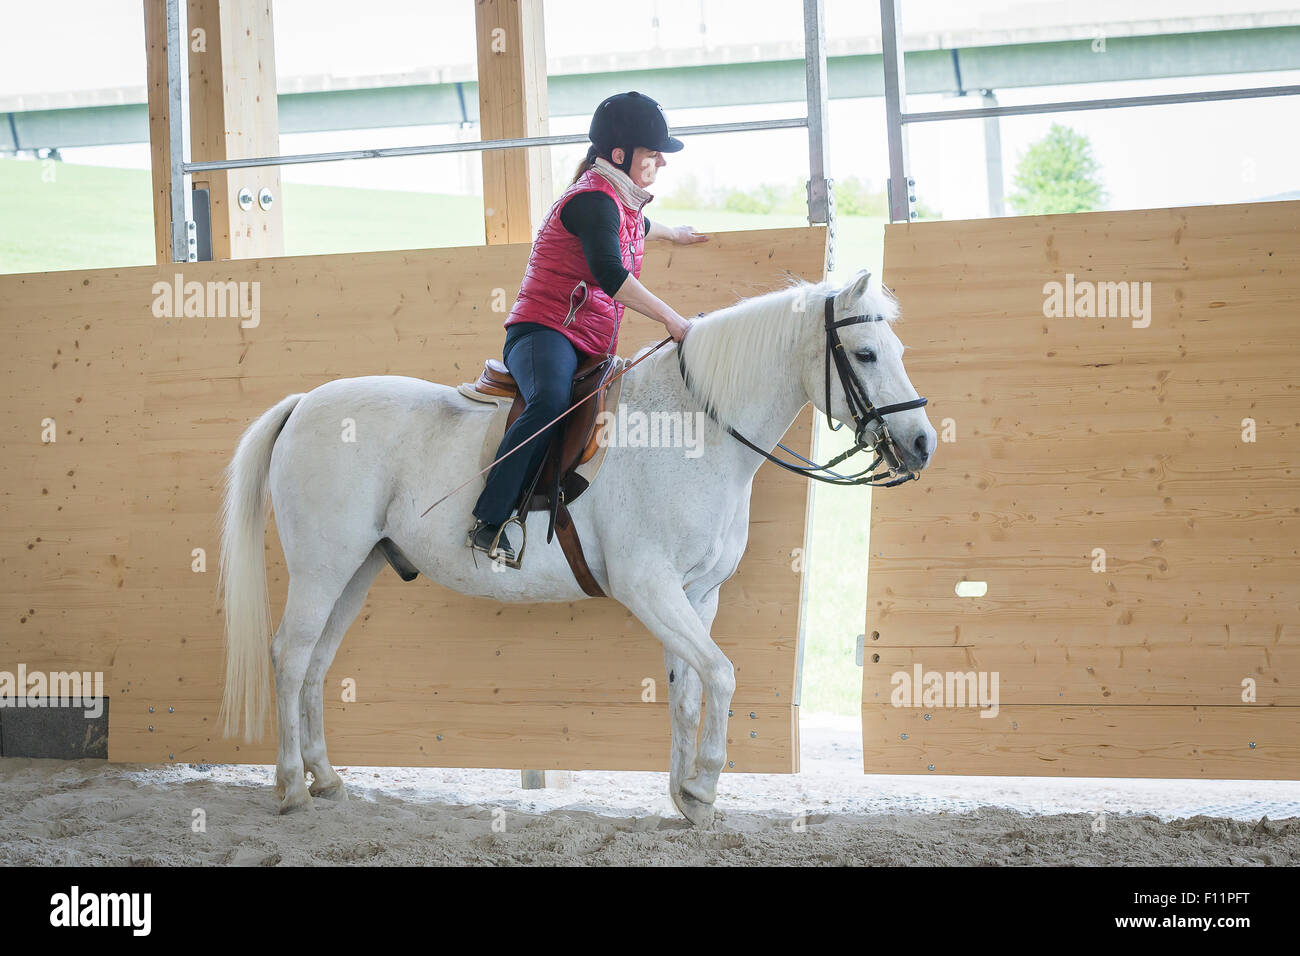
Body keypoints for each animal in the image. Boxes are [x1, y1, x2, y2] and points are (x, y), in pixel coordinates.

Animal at [216, 268, 935, 826]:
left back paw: (326, 780)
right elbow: (723, 674)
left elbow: (690, 688)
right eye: (865, 354)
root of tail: (304, 404)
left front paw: (685, 797)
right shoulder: (650, 587)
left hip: (356, 569)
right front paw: (703, 784)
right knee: (290, 656)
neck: (692, 426)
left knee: (315, 663)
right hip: (322, 567)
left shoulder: (697, 594)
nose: (923, 442)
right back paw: (290, 787)